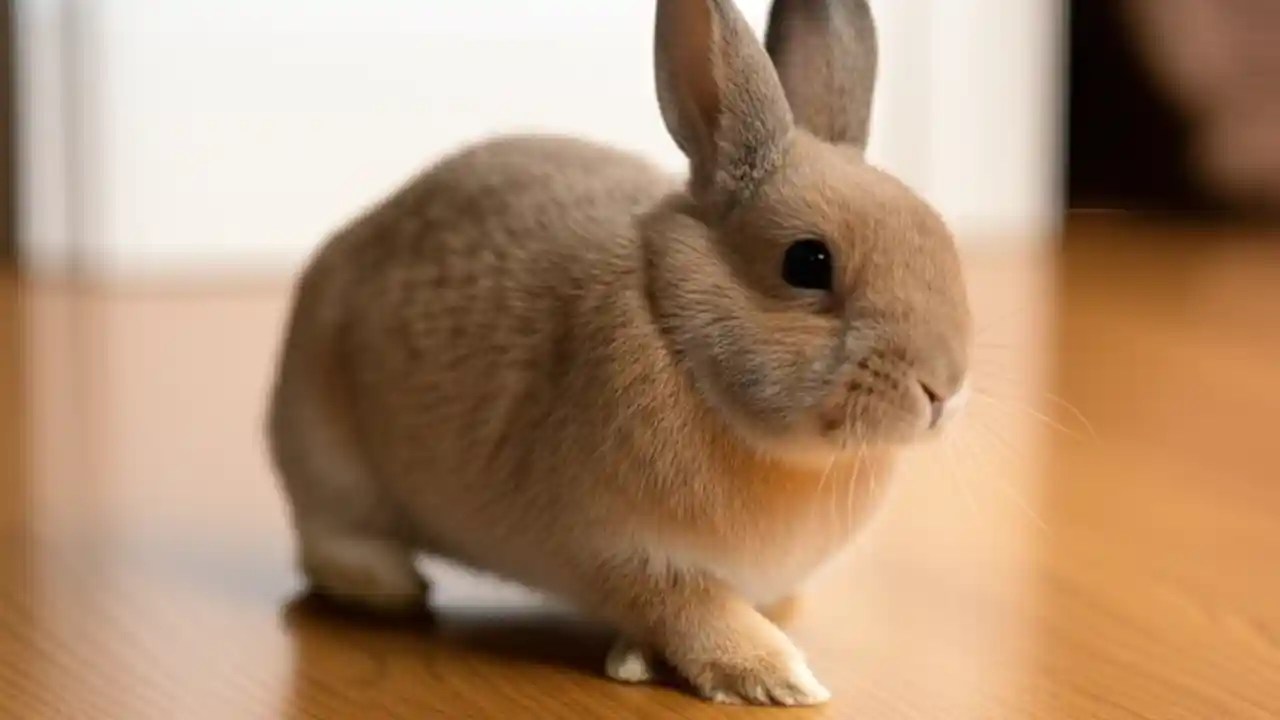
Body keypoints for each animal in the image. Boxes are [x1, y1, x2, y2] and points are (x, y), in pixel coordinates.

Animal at [268, 0, 970, 706]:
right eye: (807, 262)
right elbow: (696, 614)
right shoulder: (624, 553)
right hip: (328, 450)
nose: (943, 387)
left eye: (939, 236)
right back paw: (387, 586)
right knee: (327, 532)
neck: (678, 339)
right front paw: (777, 677)